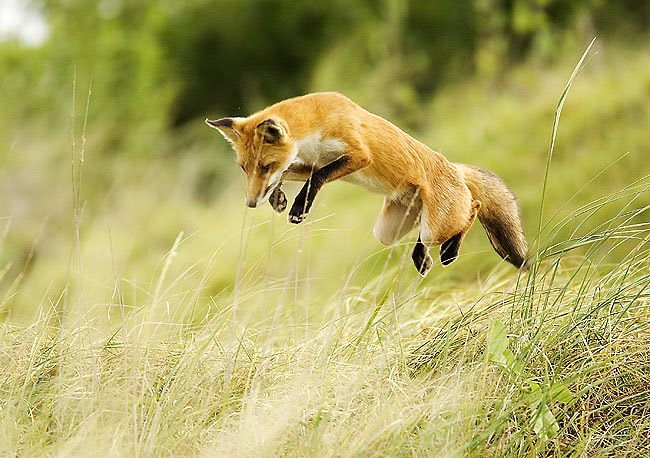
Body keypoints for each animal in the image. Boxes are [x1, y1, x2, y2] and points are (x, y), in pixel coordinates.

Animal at [206, 92, 528, 275]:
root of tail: (454, 167)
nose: (250, 203)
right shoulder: (310, 161)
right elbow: (294, 174)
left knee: (474, 207)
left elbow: (316, 178)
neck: (317, 120)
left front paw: (299, 206)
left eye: (265, 166)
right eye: (244, 168)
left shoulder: (358, 155)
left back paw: (449, 251)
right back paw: (422, 256)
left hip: (437, 224)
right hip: (387, 231)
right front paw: (279, 199)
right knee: (424, 237)